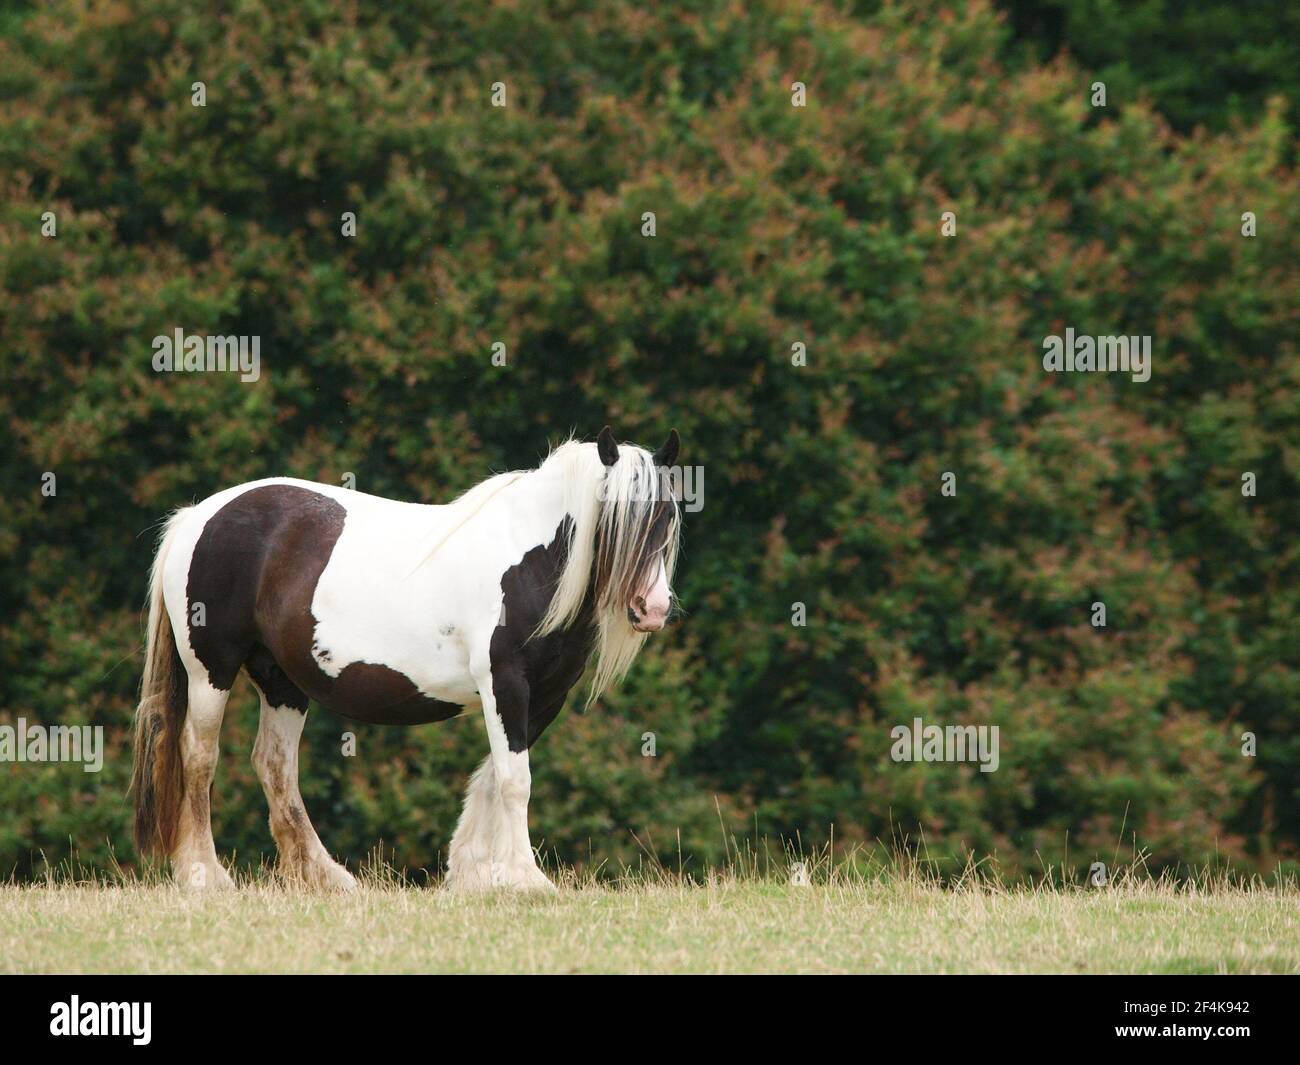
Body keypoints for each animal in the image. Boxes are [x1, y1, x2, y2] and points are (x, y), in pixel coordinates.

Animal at [129, 427, 682, 892]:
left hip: (282, 681)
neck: (530, 560)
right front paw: (526, 878)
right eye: (615, 516)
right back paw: (206, 876)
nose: (652, 609)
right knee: (199, 758)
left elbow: (493, 776)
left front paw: (474, 873)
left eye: (669, 516)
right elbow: (514, 781)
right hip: (211, 671)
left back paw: (325, 877)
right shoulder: (505, 685)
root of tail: (198, 517)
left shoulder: (545, 697)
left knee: (274, 765)